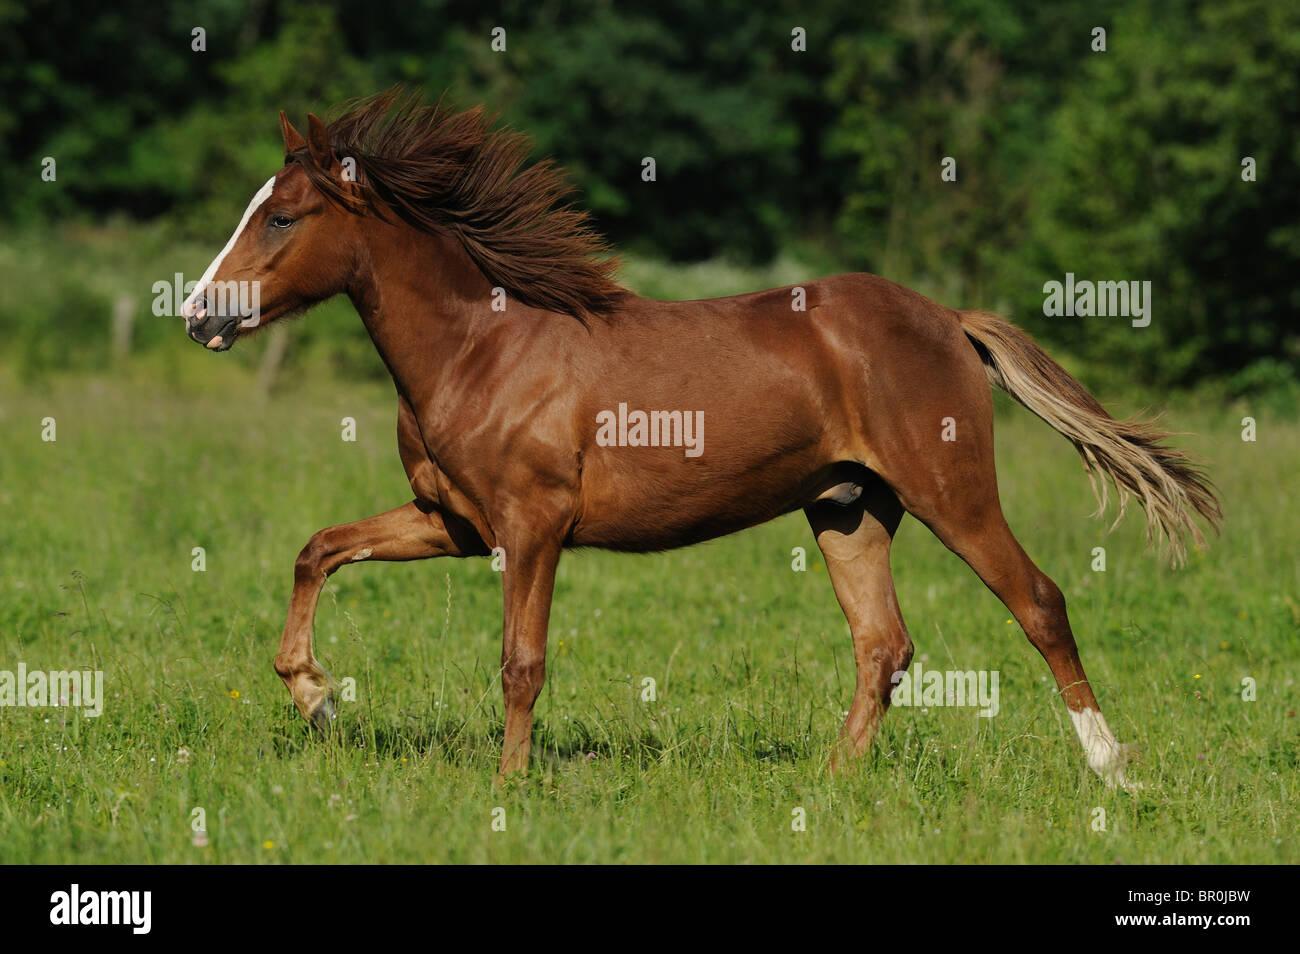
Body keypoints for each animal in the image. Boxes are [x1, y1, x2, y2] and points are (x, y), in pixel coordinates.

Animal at [179, 90, 1219, 786]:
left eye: (282, 216)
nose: (196, 315)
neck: (482, 348)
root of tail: (948, 319)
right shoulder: (458, 524)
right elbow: (319, 549)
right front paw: (316, 696)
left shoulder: (534, 528)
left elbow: (521, 661)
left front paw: (510, 787)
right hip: (849, 510)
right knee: (883, 644)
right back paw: (830, 782)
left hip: (950, 494)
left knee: (1038, 603)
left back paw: (1113, 770)